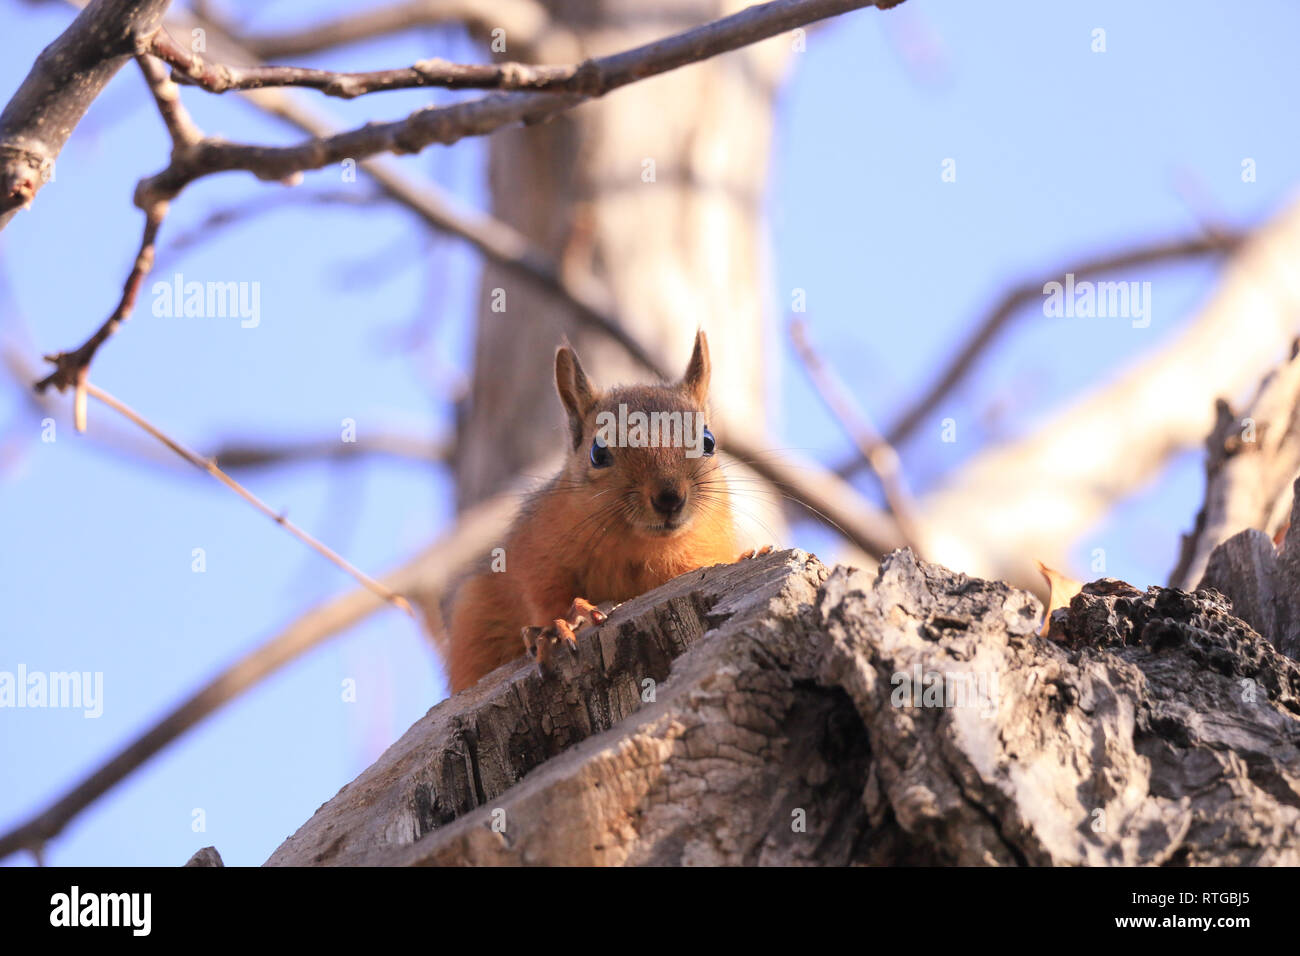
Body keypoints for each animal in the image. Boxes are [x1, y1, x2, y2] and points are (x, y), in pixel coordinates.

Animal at [444, 330, 765, 693]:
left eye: (708, 441)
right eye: (598, 453)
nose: (669, 498)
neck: (638, 546)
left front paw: (751, 554)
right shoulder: (535, 556)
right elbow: (543, 596)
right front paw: (562, 622)